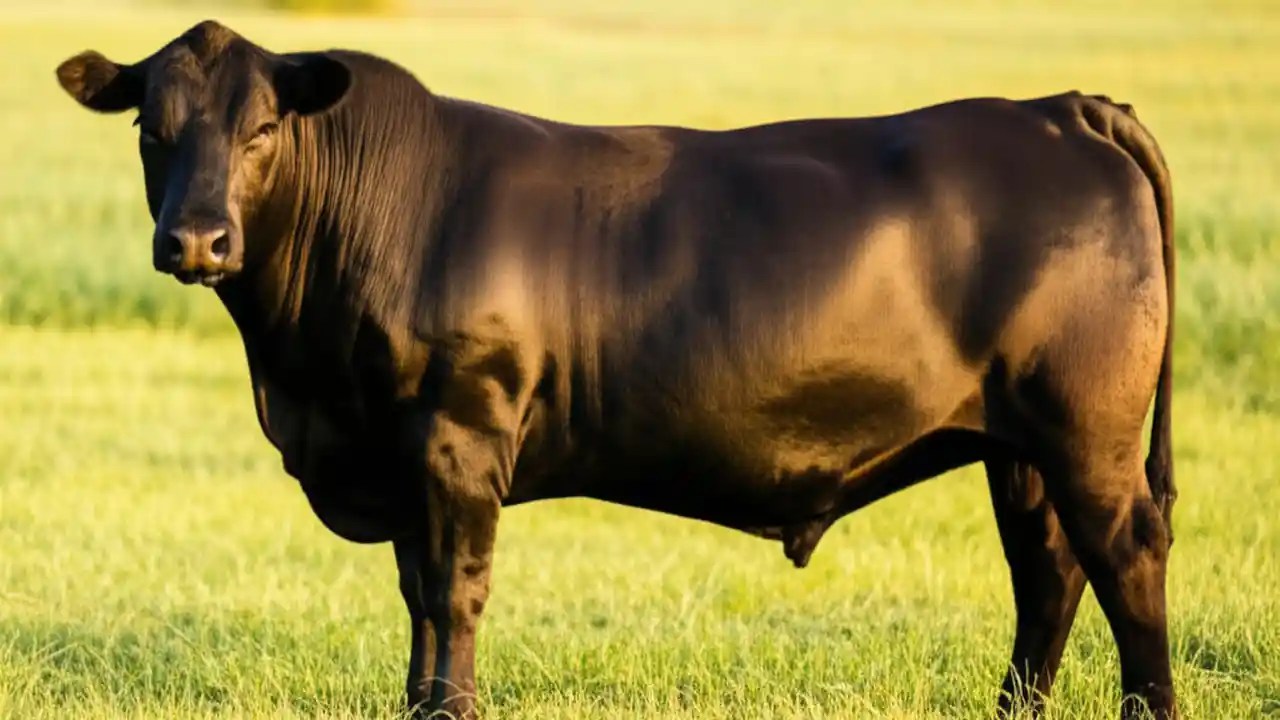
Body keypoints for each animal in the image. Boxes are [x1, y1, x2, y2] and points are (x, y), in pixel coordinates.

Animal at [56, 20, 1177, 719]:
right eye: (150, 129)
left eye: (260, 130)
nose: (196, 240)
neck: (305, 380)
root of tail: (1056, 106)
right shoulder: (399, 449)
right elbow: (416, 594)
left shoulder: (459, 435)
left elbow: (454, 592)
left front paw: (451, 708)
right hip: (1017, 447)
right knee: (1045, 576)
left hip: (1088, 435)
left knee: (1124, 559)